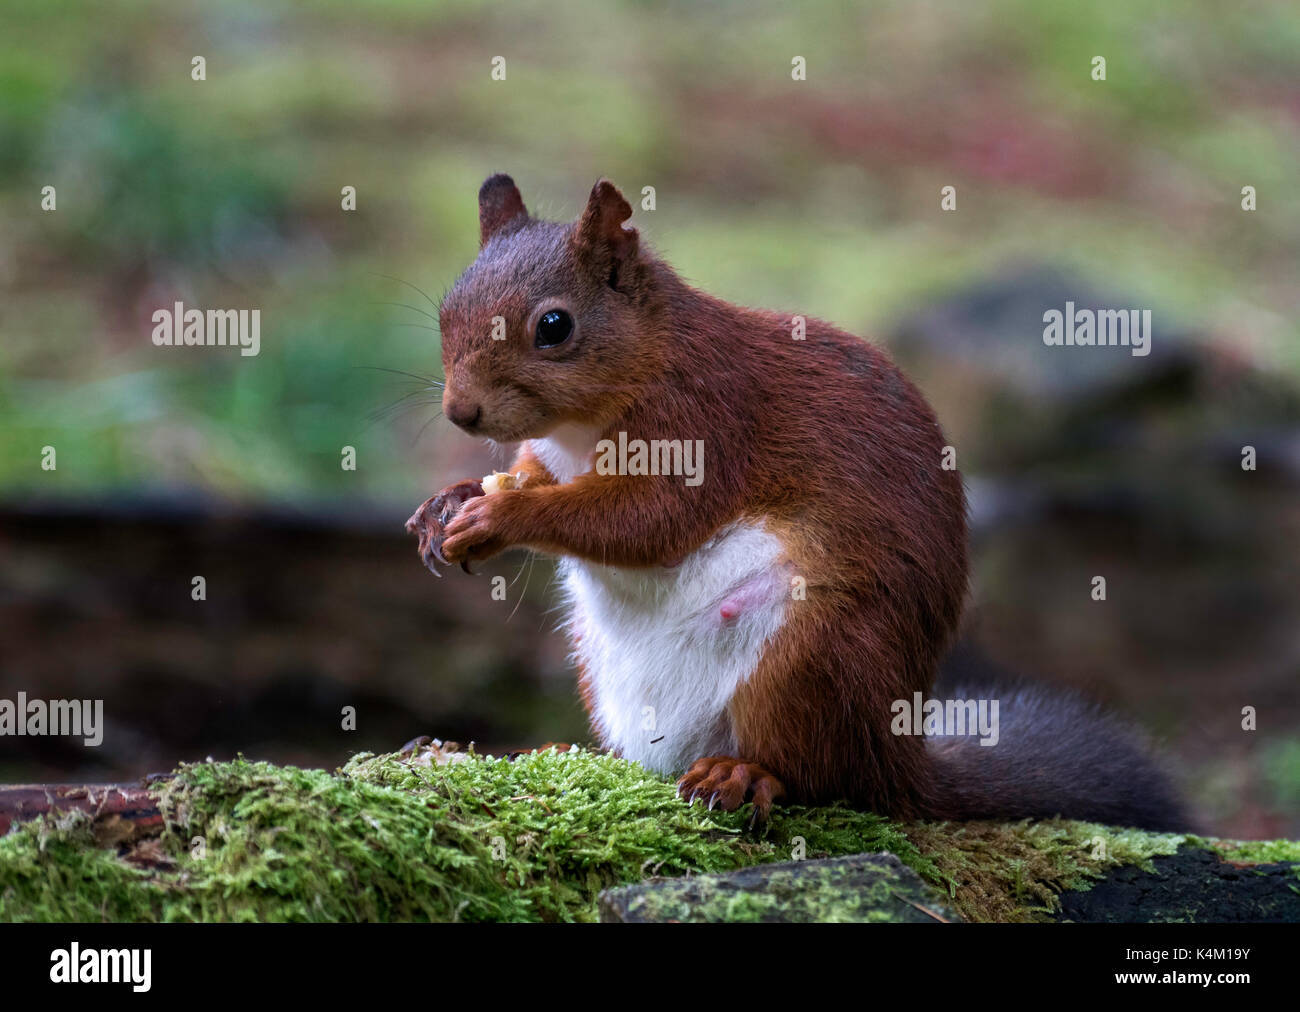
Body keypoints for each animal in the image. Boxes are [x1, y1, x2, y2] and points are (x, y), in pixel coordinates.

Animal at [405, 173, 1190, 831]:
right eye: (445, 310)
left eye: (555, 326)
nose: (461, 414)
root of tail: (895, 753)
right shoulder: (555, 454)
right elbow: (534, 473)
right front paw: (449, 502)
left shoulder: (705, 424)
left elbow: (648, 521)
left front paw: (500, 516)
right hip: (599, 663)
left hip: (812, 655)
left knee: (821, 773)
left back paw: (744, 776)